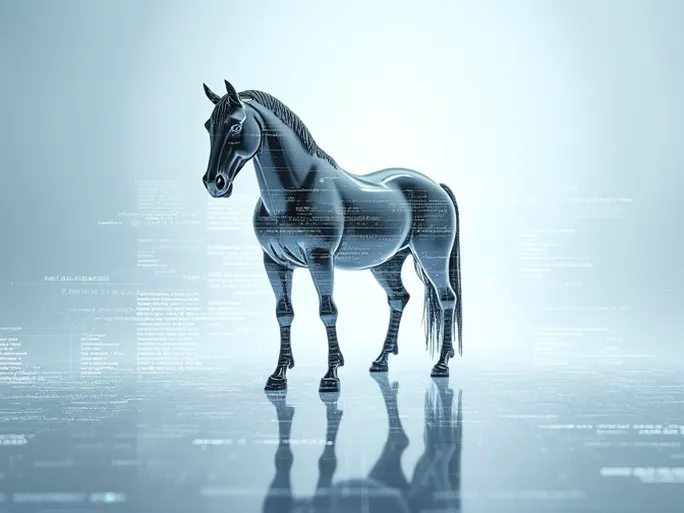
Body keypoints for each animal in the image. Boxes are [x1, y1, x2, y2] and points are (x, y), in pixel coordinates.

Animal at [201, 80, 462, 393]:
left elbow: (328, 311)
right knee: (398, 298)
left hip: (432, 256)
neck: (295, 192)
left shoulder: (320, 258)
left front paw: (330, 375)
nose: (214, 183)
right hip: (386, 264)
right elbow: (284, 313)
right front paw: (278, 375)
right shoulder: (275, 263)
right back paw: (381, 360)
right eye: (208, 125)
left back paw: (441, 365)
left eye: (237, 125)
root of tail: (436, 185)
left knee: (447, 298)